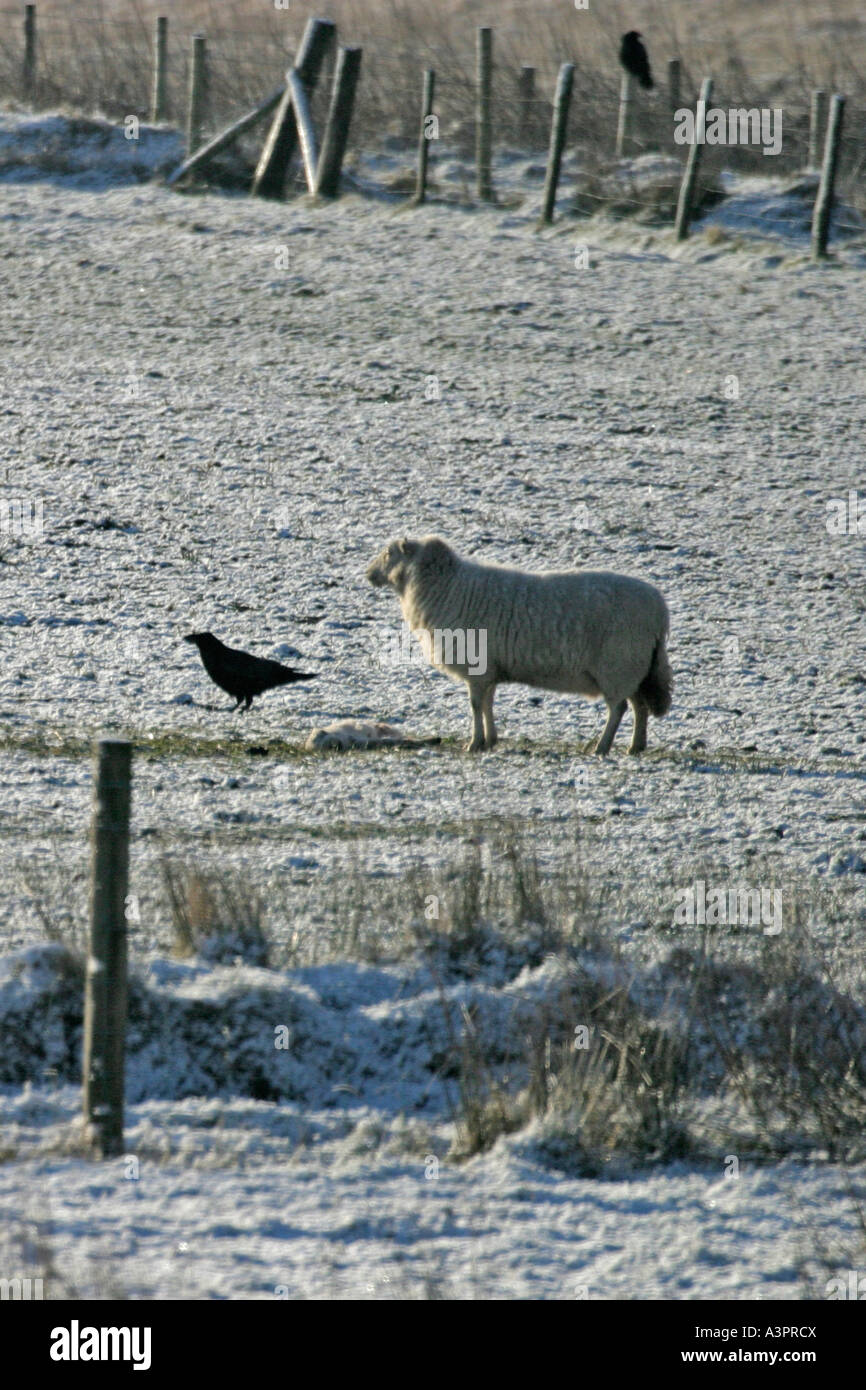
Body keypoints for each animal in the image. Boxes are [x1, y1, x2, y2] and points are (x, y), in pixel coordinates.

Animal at [366, 536, 672, 754]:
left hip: (618, 665)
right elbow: (487, 703)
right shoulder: (489, 671)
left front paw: (475, 743)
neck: (445, 587)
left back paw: (603, 746)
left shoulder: (477, 669)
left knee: (619, 709)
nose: (368, 574)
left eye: (388, 554)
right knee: (639, 707)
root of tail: (659, 610)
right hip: (635, 669)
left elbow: (475, 705)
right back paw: (635, 746)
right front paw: (490, 740)